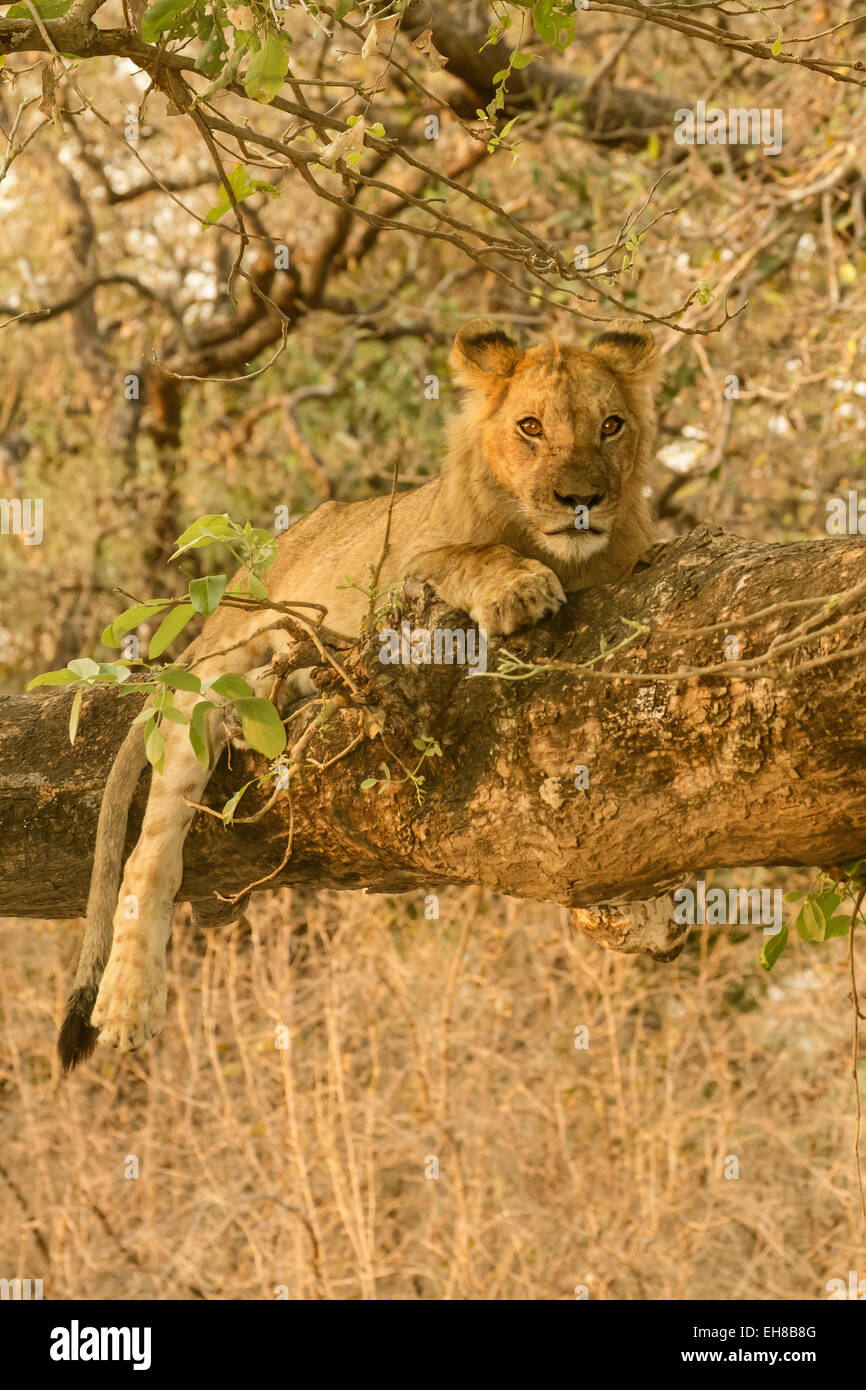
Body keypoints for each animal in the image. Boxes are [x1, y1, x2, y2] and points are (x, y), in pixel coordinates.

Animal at [57, 316, 662, 1070]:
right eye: (531, 426)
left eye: (611, 426)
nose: (582, 501)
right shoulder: (403, 574)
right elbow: (466, 555)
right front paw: (518, 587)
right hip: (217, 669)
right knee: (149, 852)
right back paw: (128, 1003)